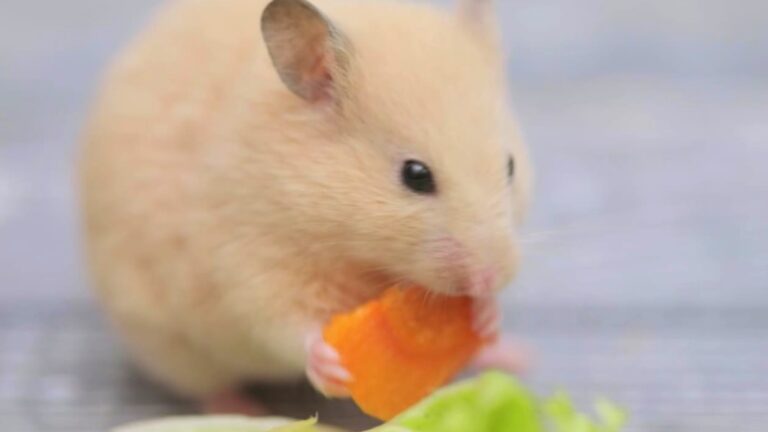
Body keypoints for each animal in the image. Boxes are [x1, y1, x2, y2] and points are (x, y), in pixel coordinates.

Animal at [79, 0, 532, 410]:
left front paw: (486, 316)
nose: (491, 278)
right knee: (209, 386)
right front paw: (333, 367)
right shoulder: (251, 262)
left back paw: (511, 354)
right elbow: (286, 322)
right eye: (416, 175)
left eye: (510, 165)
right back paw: (244, 410)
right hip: (167, 345)